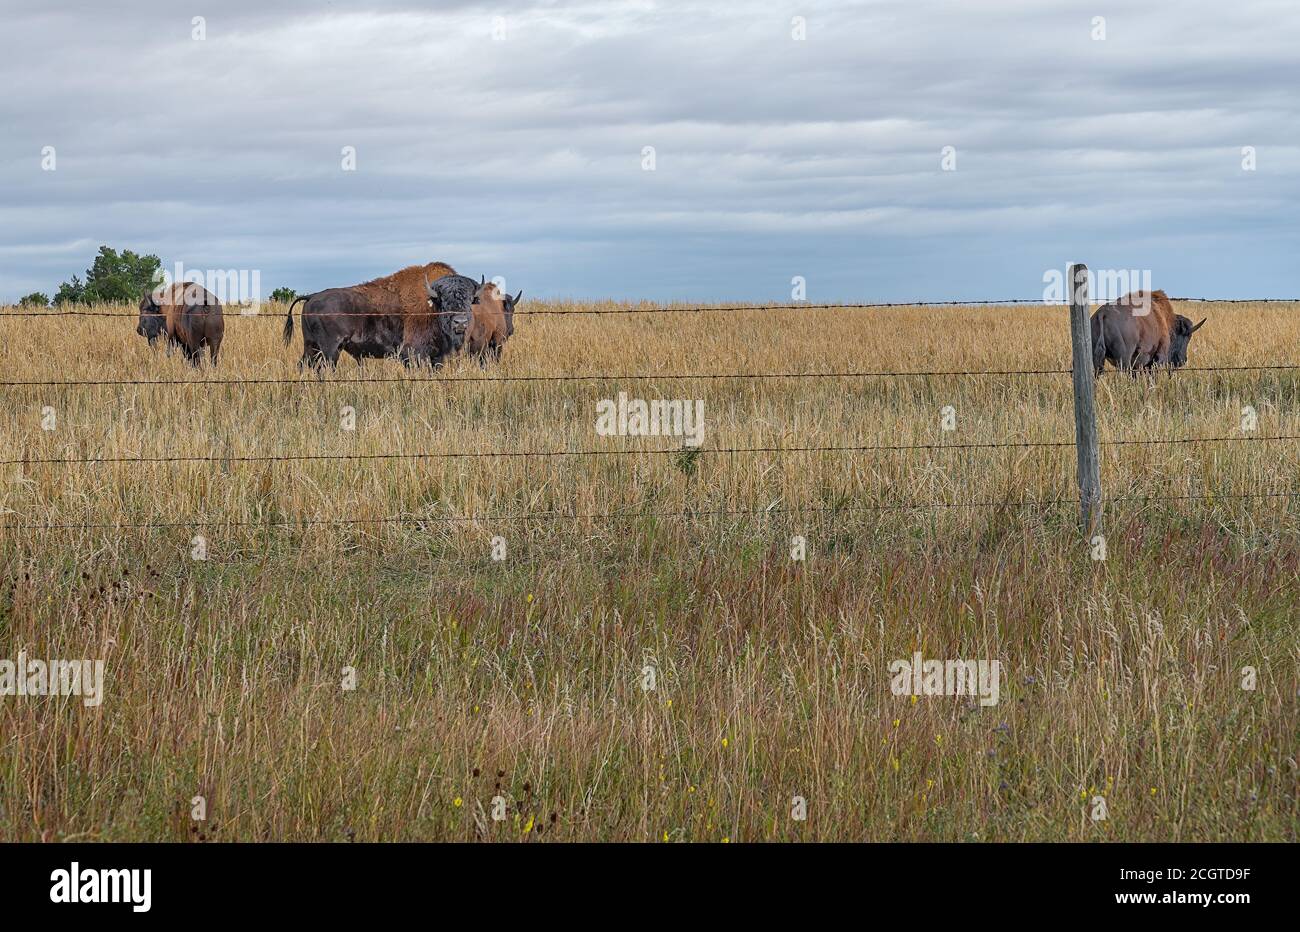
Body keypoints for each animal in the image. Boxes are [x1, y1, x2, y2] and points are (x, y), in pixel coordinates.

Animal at [282, 262, 469, 370]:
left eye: (469, 300)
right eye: (444, 300)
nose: (460, 323)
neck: (431, 305)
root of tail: (312, 296)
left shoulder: (436, 357)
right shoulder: (413, 354)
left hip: (311, 346)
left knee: (304, 366)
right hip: (330, 349)